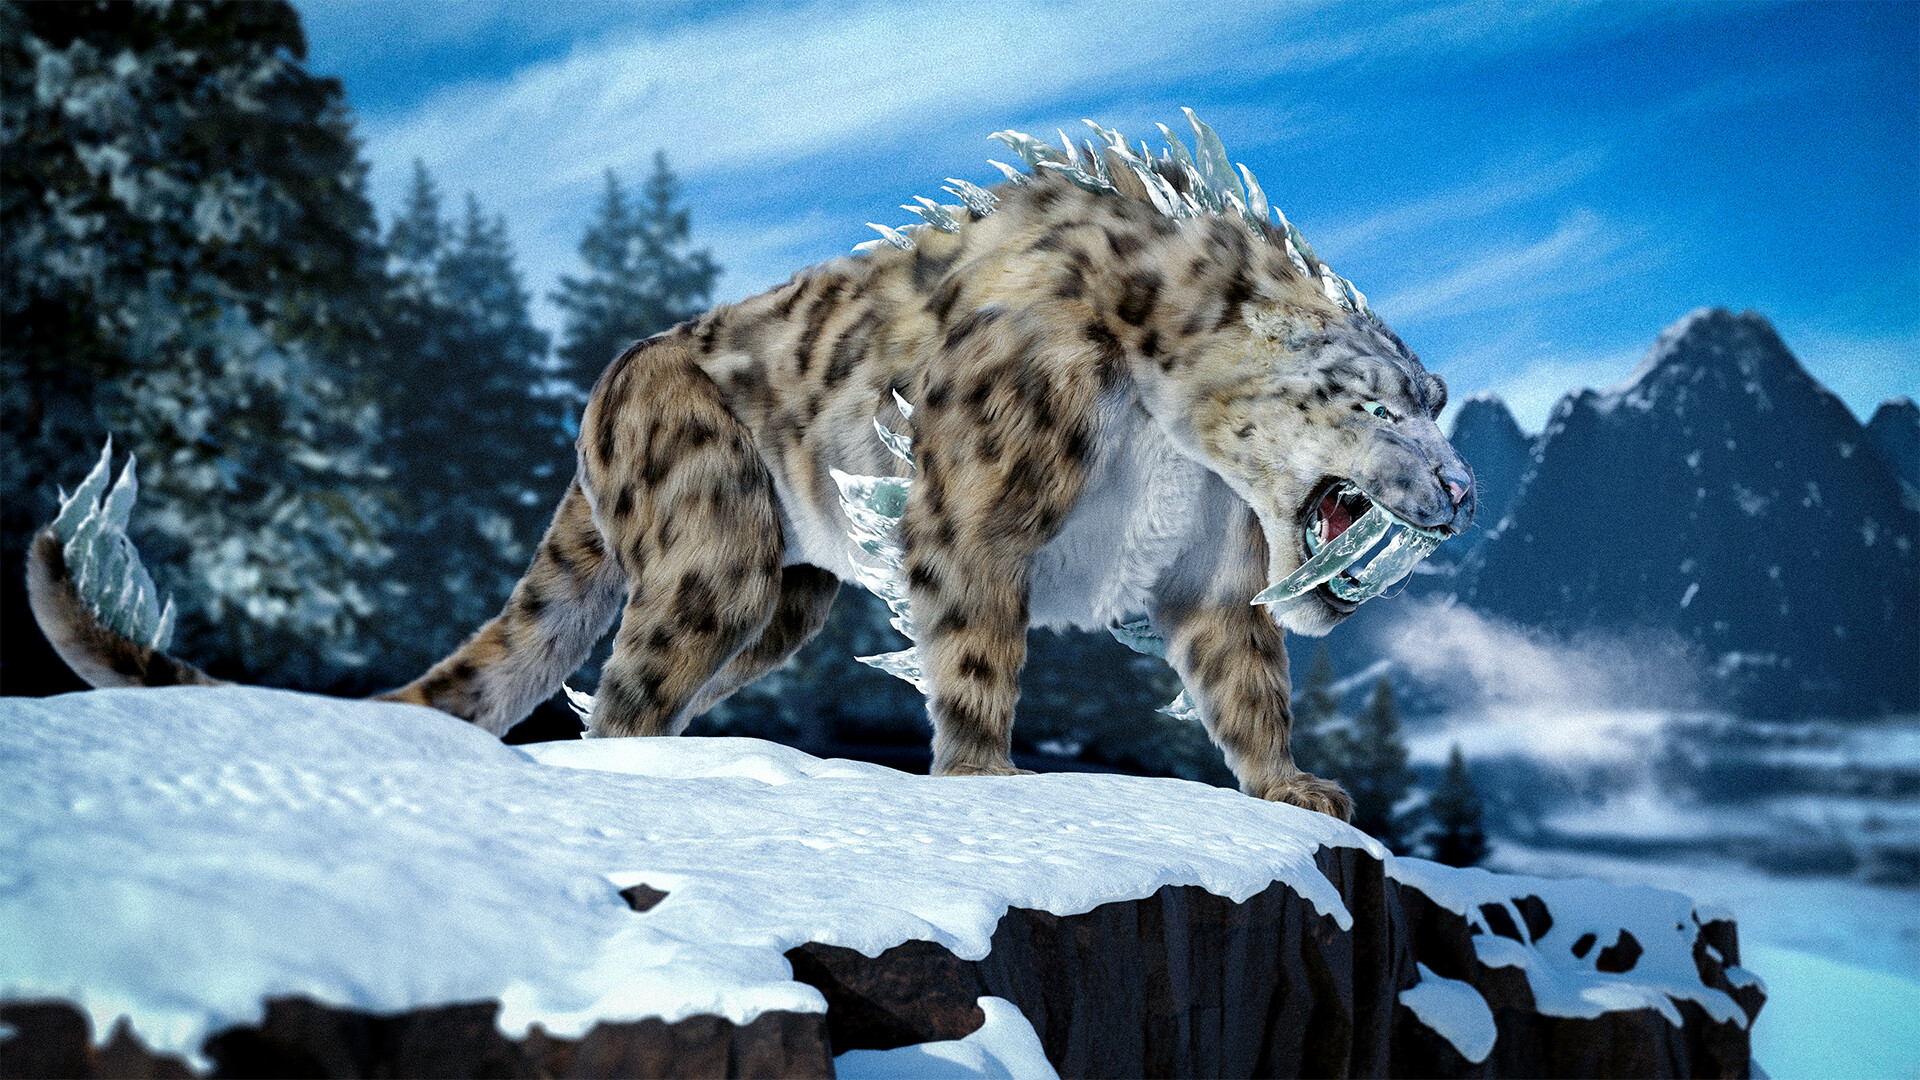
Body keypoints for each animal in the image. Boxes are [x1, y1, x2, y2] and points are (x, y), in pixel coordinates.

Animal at [28, 115, 1475, 820]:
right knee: (627, 687)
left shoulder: (1210, 579)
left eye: (1438, 404)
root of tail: (609, 385)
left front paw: (1290, 788)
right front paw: (988, 784)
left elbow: (1246, 683)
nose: (1461, 495)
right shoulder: (968, 512)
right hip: (707, 539)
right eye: (1379, 404)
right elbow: (978, 652)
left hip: (784, 596)